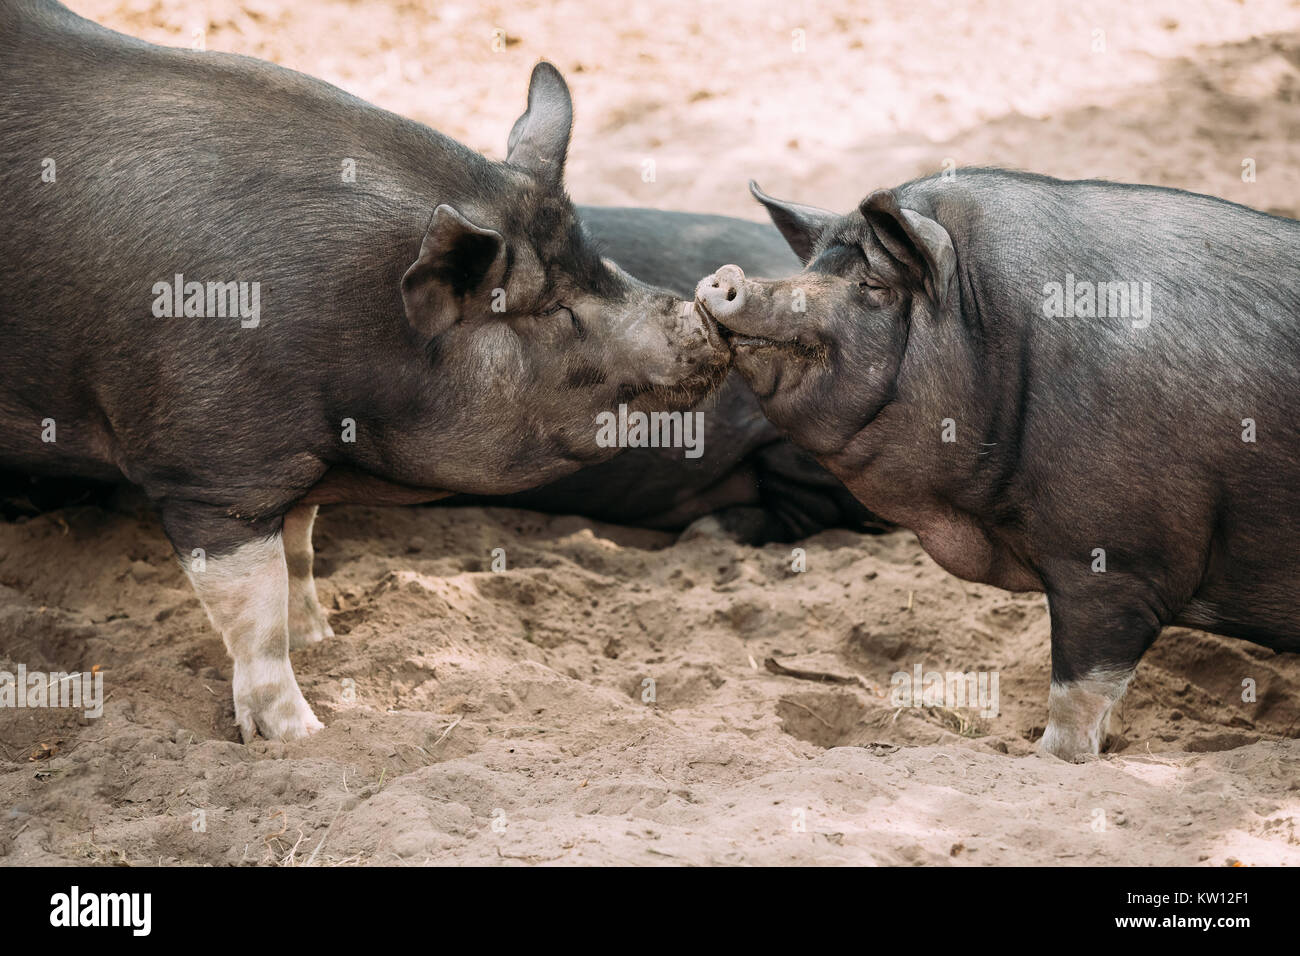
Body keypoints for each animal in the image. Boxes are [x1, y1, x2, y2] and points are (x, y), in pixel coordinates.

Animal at [0, 1, 727, 741]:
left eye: (599, 263)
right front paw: (303, 737)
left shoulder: (295, 466)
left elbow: (300, 557)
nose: (708, 301)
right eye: (555, 309)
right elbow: (257, 617)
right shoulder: (209, 473)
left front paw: (323, 641)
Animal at [696, 170, 1300, 760]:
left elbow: (1077, 699)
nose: (723, 279)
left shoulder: (1117, 561)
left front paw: (1051, 757)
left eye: (873, 286)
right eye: (812, 268)